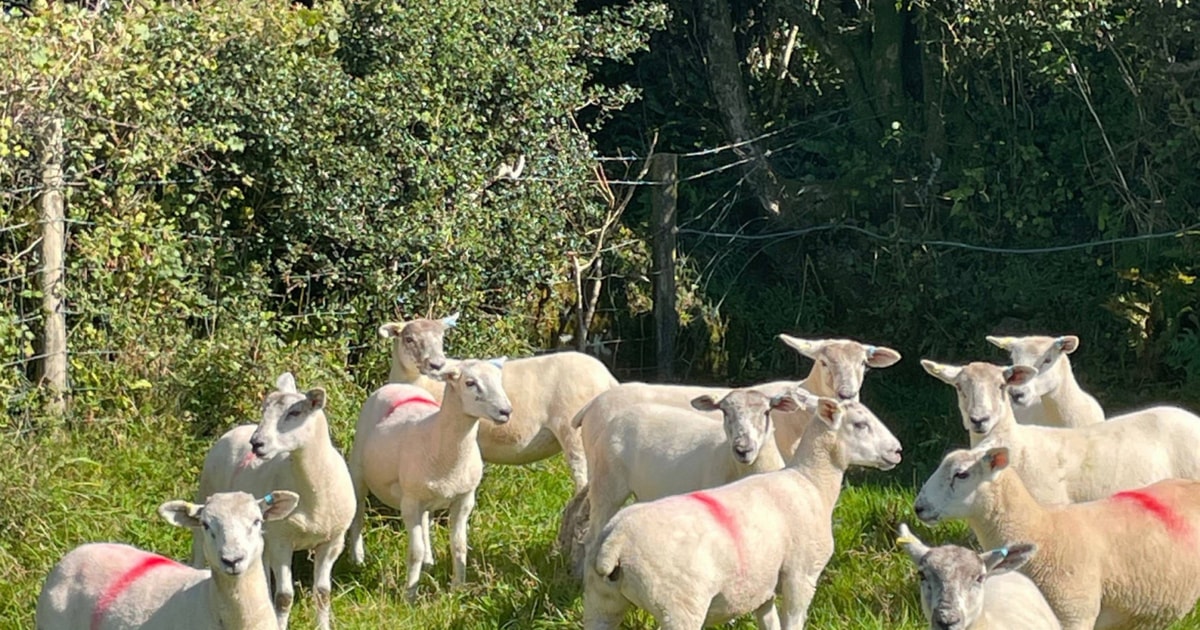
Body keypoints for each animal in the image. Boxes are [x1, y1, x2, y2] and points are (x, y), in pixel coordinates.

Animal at [193, 372, 356, 630]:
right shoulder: (282, 541)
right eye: (264, 410)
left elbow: (322, 593)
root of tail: (238, 429)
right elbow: (284, 597)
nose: (256, 443)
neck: (314, 492)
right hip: (206, 495)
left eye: (295, 413)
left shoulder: (332, 542)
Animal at [346, 358, 513, 599]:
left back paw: (429, 562)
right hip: (358, 469)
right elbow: (414, 551)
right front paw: (409, 596)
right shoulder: (409, 502)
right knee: (358, 513)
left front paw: (457, 589)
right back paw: (357, 558)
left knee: (425, 520)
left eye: (499, 380)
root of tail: (397, 386)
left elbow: (459, 546)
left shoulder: (465, 499)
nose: (506, 411)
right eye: (470, 383)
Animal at [582, 395, 903, 629]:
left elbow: (770, 623)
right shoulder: (801, 576)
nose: (897, 451)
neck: (811, 483)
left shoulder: (762, 588)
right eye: (860, 424)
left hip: (601, 600)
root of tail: (616, 541)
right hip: (679, 605)